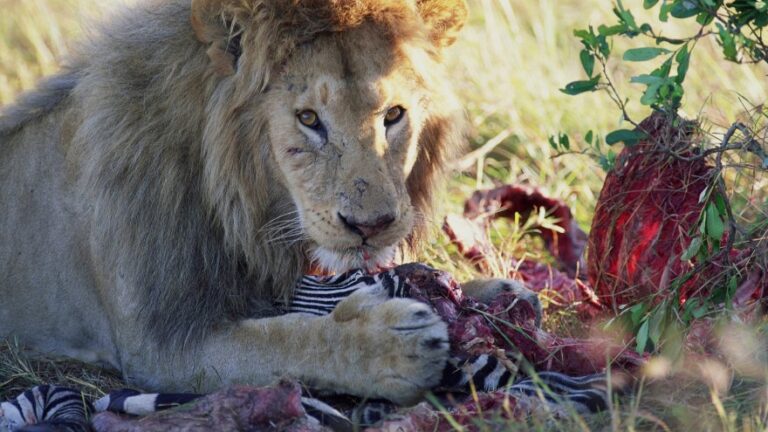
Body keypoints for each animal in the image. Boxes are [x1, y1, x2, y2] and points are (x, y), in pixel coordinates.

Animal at [0, 0, 533, 405]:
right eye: (308, 119)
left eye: (394, 115)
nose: (372, 226)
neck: (244, 211)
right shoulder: (159, 343)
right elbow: (282, 340)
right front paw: (381, 344)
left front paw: (496, 295)